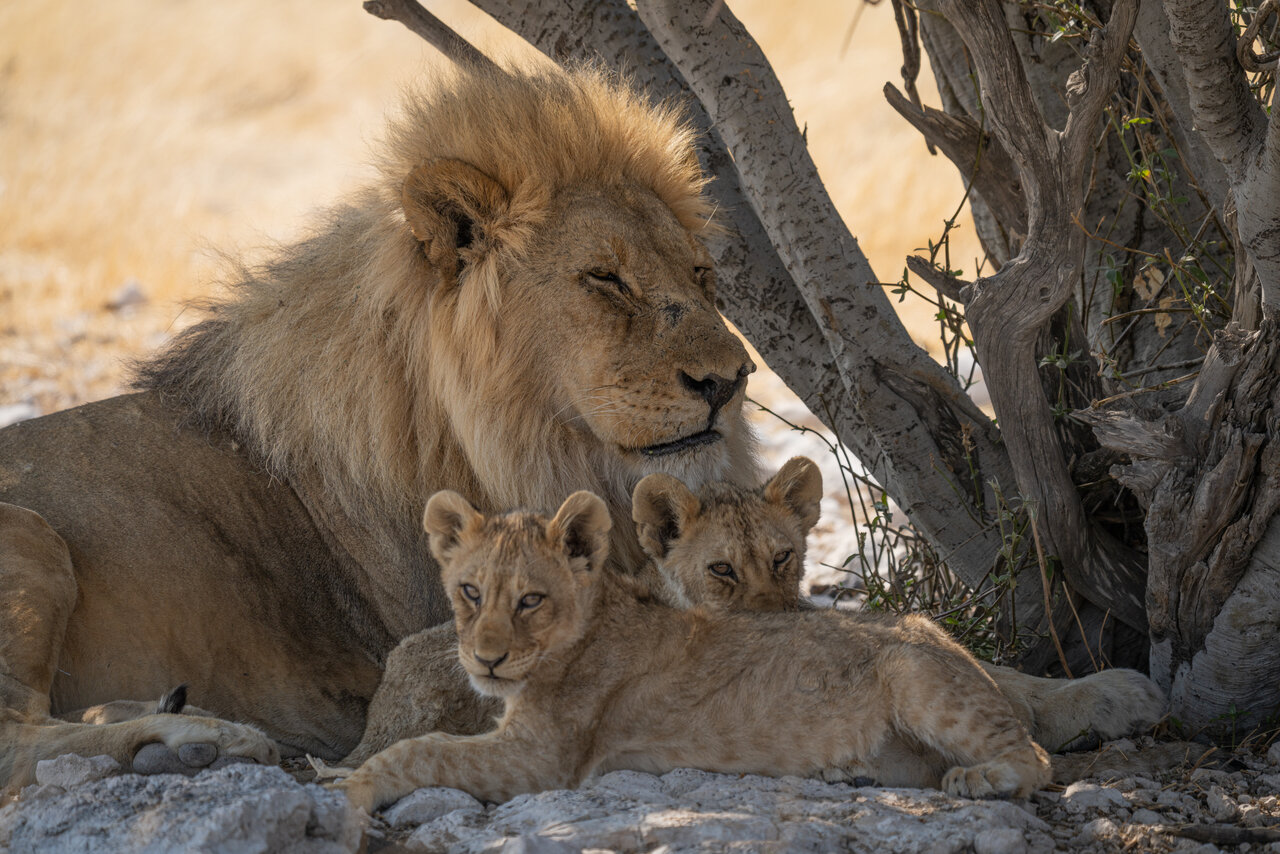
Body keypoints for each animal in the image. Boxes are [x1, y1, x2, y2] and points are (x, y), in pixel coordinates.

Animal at [335, 489, 1053, 814]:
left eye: (530, 600)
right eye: (470, 591)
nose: (484, 660)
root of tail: (941, 632)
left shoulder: (542, 762)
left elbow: (423, 749)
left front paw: (352, 786)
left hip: (915, 676)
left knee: (1036, 756)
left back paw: (981, 779)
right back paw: (849, 772)